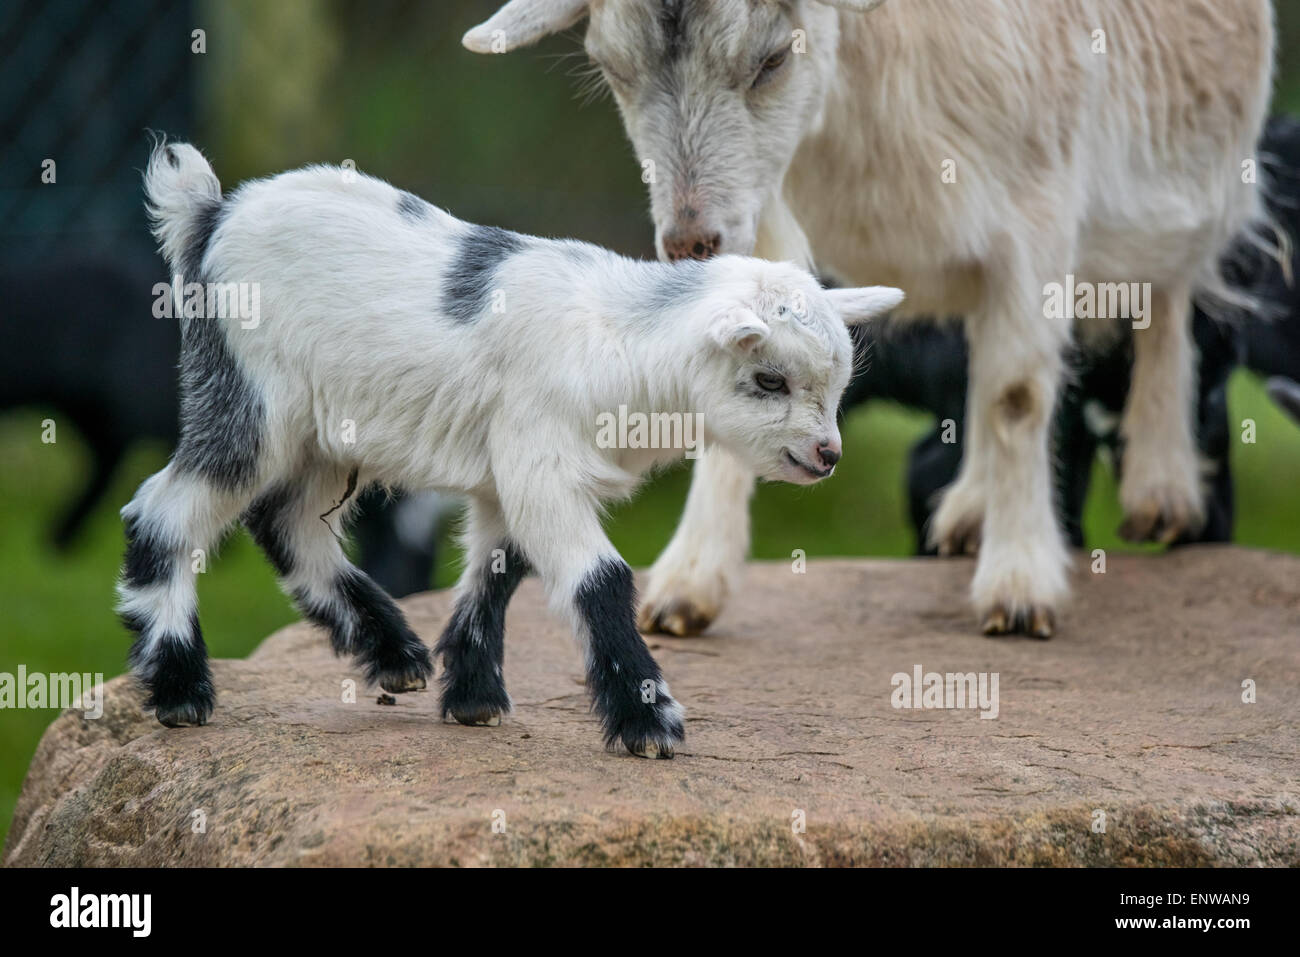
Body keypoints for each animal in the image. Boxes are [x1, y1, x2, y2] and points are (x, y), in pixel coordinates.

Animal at [118, 140, 902, 756]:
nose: (827, 455)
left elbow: (496, 572)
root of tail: (209, 215)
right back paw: (181, 691)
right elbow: (600, 578)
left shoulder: (509, 473)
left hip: (322, 429)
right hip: (249, 399)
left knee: (285, 521)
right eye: (769, 380)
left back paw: (394, 653)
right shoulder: (539, 463)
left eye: (837, 387)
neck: (623, 338)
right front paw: (648, 723)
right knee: (164, 509)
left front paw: (473, 697)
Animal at [466, 0, 1275, 638]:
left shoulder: (1039, 216)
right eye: (612, 69)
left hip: (1190, 175)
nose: (690, 241)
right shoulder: (771, 217)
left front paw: (1019, 590)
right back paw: (969, 511)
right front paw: (687, 587)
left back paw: (1161, 493)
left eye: (770, 60)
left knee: (1168, 293)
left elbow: (1018, 398)